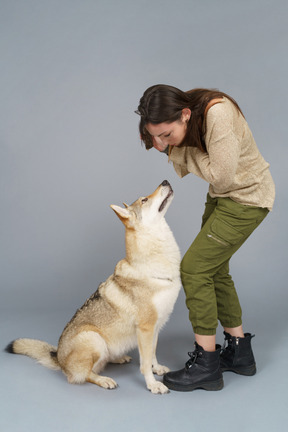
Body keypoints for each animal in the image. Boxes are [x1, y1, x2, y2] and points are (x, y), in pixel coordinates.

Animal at [5, 181, 181, 394]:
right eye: (144, 200)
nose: (165, 181)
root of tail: (59, 359)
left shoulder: (156, 327)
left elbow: (152, 354)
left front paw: (157, 369)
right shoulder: (146, 328)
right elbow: (145, 363)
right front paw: (153, 385)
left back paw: (119, 358)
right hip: (94, 339)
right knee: (83, 375)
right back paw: (104, 380)